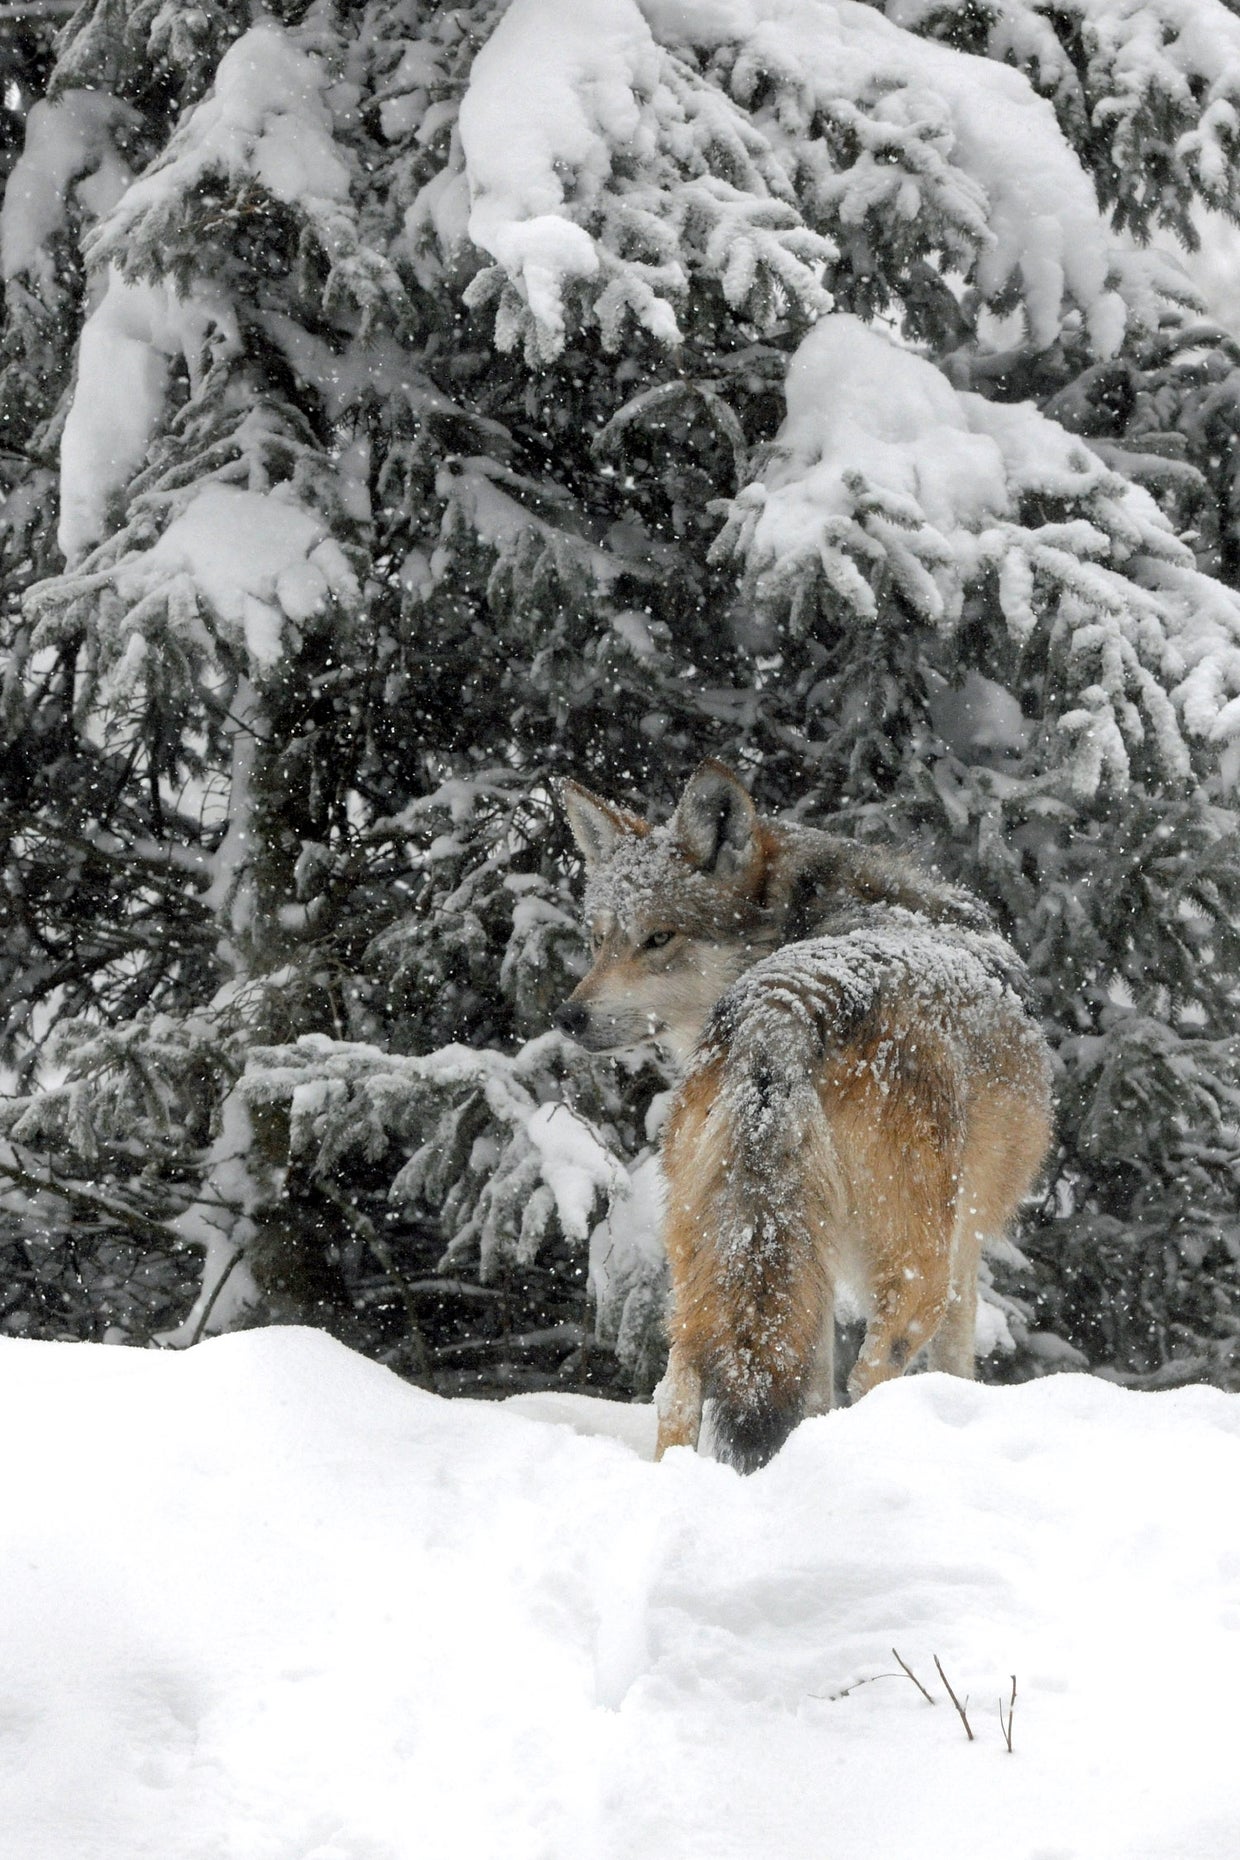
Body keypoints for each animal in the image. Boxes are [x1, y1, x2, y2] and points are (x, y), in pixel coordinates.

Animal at [556, 759, 1053, 1473]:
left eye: (657, 938)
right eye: (601, 940)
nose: (568, 1017)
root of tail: (785, 1015)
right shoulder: (968, 1247)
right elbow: (956, 1366)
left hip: (713, 1256)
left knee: (681, 1387)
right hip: (913, 1272)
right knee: (870, 1378)